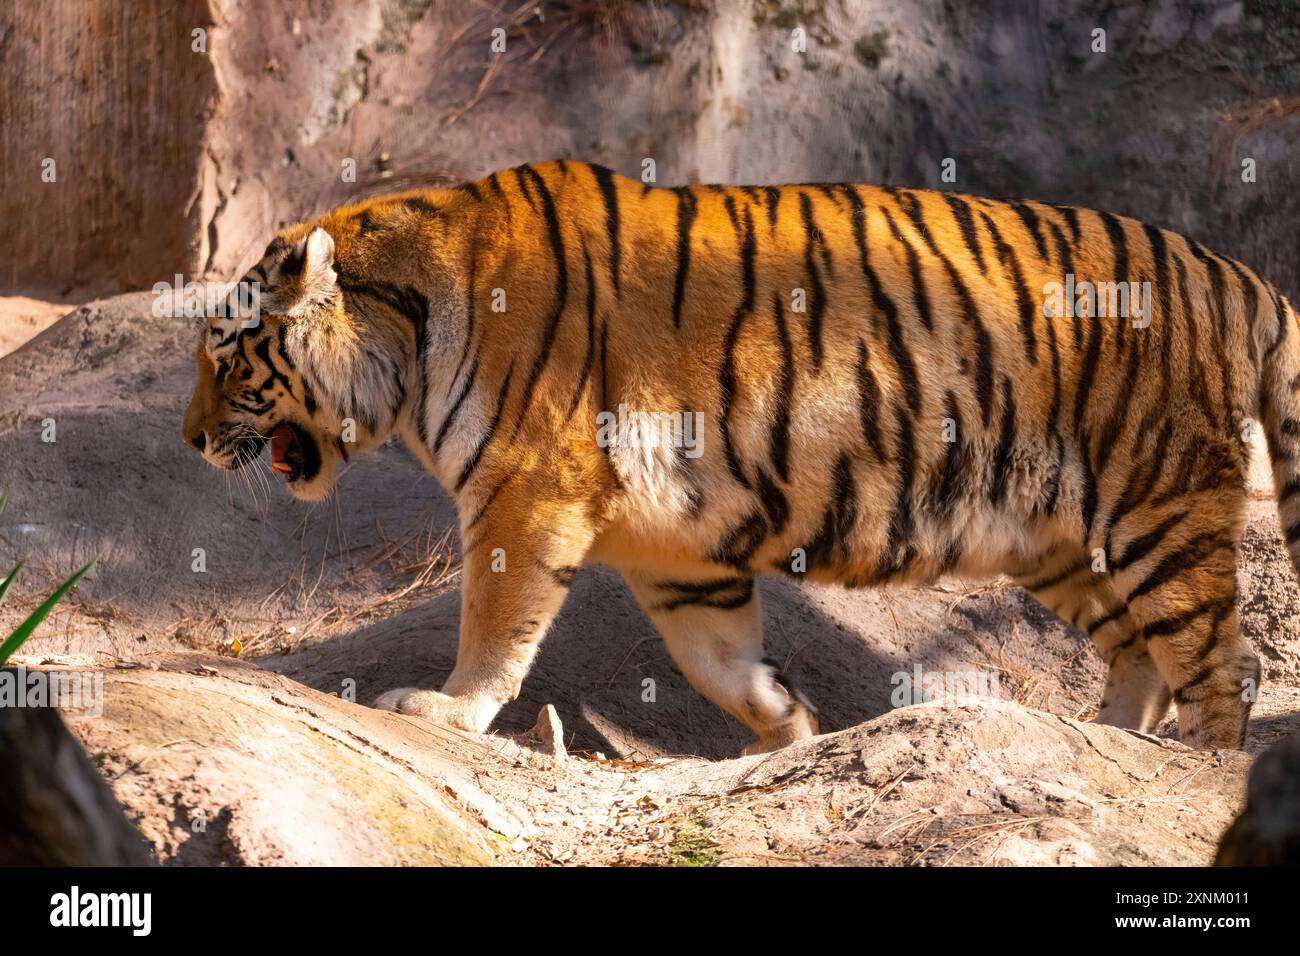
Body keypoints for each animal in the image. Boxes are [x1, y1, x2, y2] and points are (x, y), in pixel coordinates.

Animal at [182, 160, 1298, 755]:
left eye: (225, 354)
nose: (190, 439)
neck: (407, 334)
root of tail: (1240, 273)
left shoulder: (524, 494)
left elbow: (495, 621)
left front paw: (447, 706)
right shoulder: (676, 552)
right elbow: (716, 663)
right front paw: (787, 733)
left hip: (1154, 504)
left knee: (1220, 660)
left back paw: (1190, 763)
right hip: (1060, 534)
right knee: (1140, 650)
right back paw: (1111, 738)